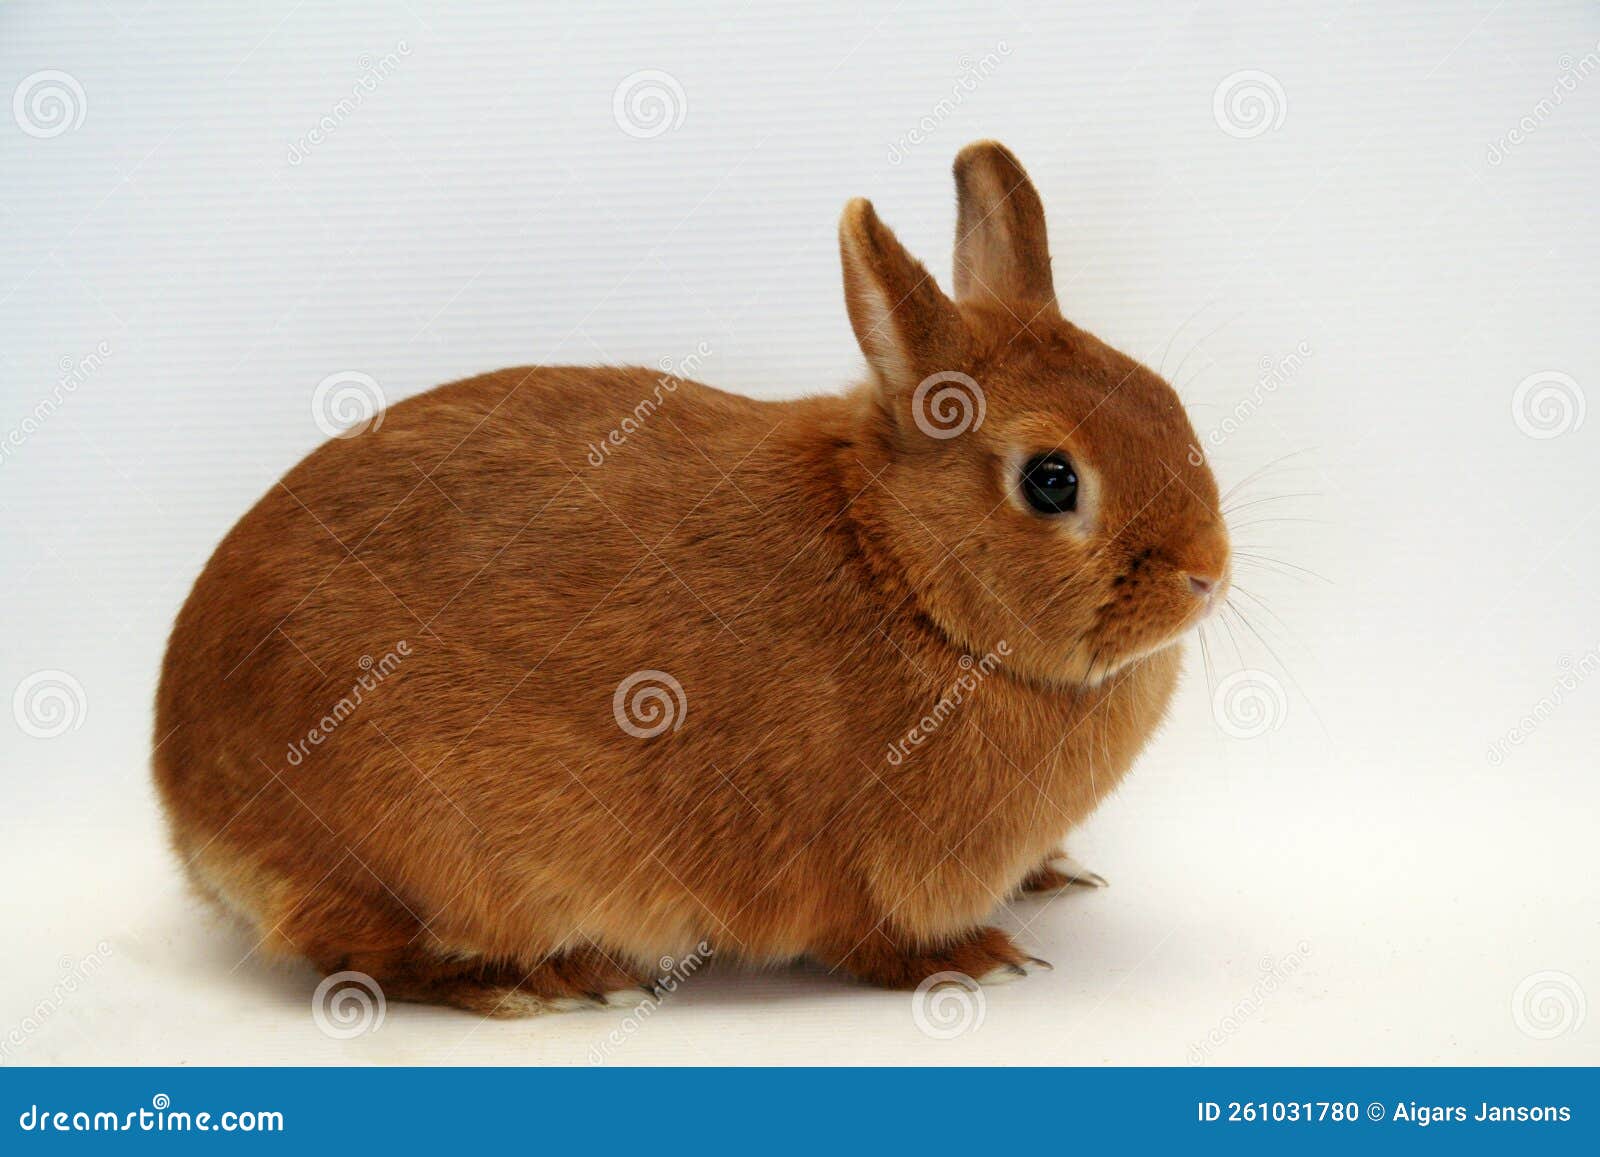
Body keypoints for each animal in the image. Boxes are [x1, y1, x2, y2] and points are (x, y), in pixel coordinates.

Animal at [153, 140, 1230, 1015]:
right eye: (1051, 479)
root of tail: (186, 795)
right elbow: (867, 937)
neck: (901, 571)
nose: (1206, 574)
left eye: (1166, 398)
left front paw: (1057, 875)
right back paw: (551, 979)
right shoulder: (844, 860)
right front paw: (977, 957)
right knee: (358, 949)